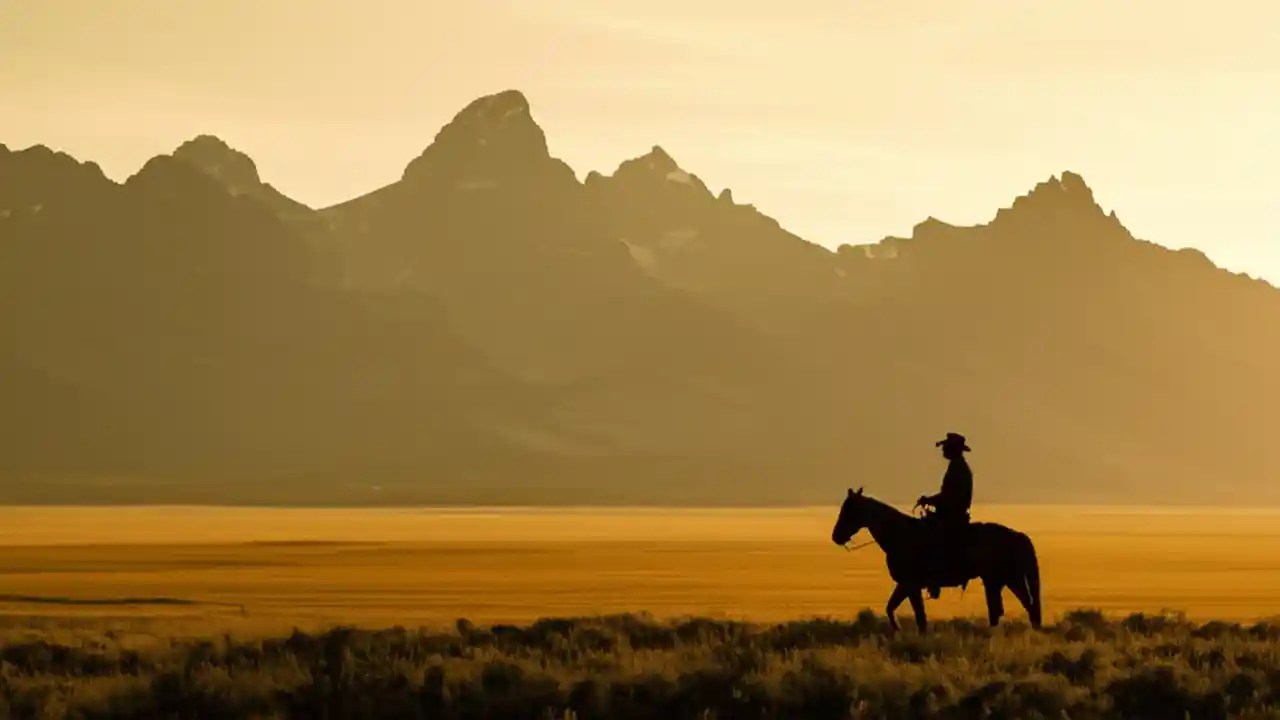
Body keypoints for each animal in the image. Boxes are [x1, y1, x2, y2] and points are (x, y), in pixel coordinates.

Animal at [831, 487, 1042, 633]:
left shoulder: (910, 584)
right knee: (1011, 607)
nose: (836, 536)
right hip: (1002, 580)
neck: (901, 535)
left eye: (849, 510)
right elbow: (892, 608)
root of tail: (1017, 535)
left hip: (1003, 579)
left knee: (1017, 606)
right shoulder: (905, 585)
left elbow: (918, 616)